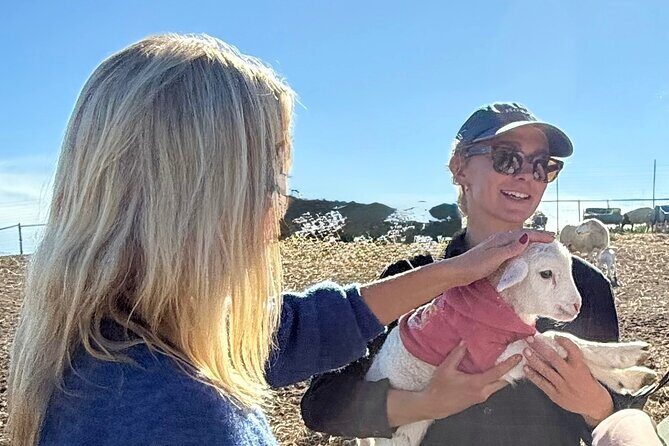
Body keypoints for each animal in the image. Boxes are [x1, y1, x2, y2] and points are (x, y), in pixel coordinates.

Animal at [360, 241, 656, 446]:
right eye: (546, 274)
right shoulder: (491, 356)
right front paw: (628, 357)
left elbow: (566, 343)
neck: (502, 304)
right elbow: (554, 341)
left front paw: (631, 376)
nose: (577, 305)